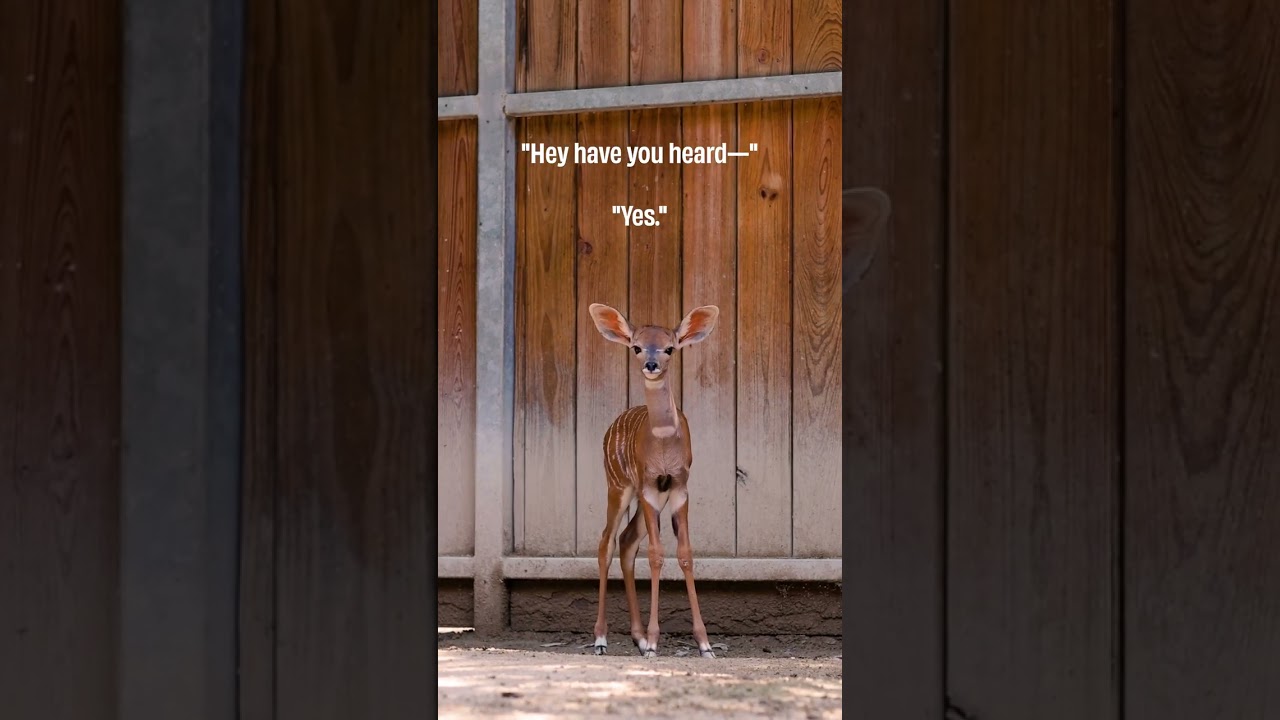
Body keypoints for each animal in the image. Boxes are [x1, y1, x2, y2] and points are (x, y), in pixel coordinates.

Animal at [586, 302, 720, 659]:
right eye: (636, 346)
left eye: (669, 348)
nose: (651, 364)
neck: (662, 442)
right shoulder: (648, 487)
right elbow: (657, 555)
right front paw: (655, 642)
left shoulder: (679, 487)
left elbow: (685, 554)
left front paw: (705, 645)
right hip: (618, 485)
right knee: (606, 542)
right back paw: (602, 639)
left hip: (645, 498)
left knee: (626, 541)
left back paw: (637, 637)